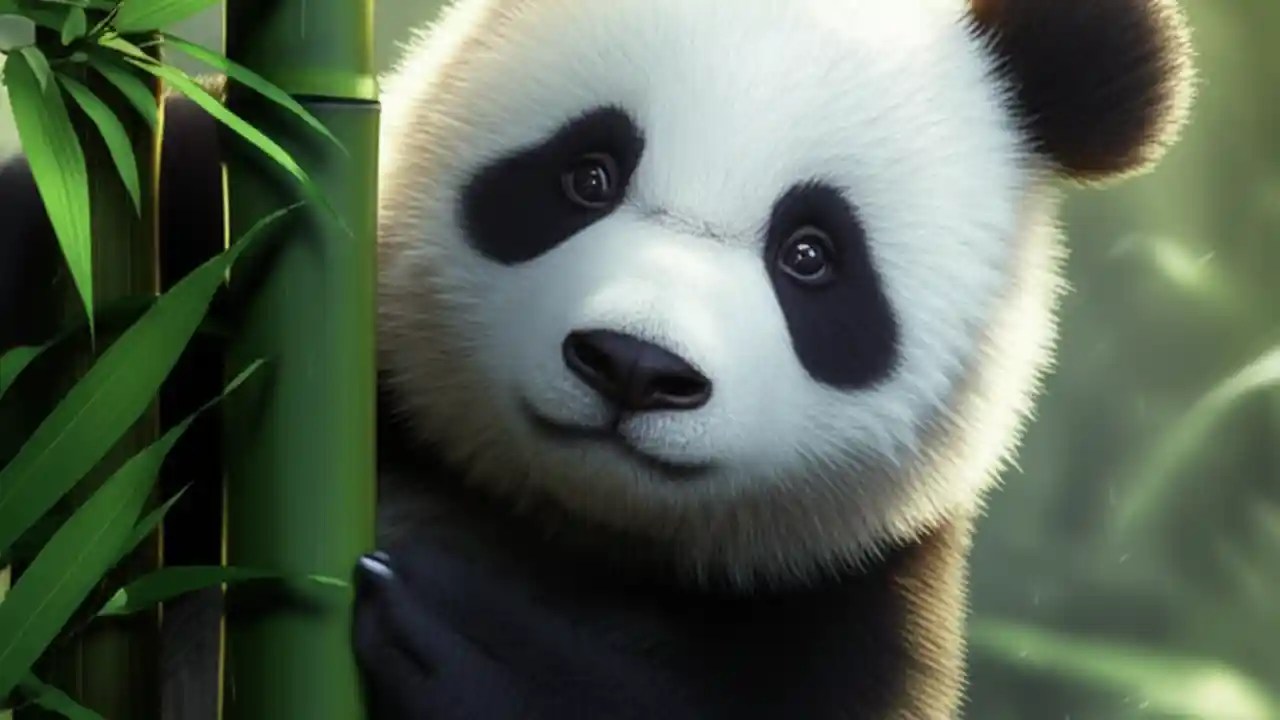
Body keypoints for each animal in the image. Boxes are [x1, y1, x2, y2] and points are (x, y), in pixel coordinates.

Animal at [0, 0, 1195, 718]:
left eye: (811, 254)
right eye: (587, 174)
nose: (631, 366)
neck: (561, 520)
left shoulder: (847, 614)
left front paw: (472, 635)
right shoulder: (204, 225)